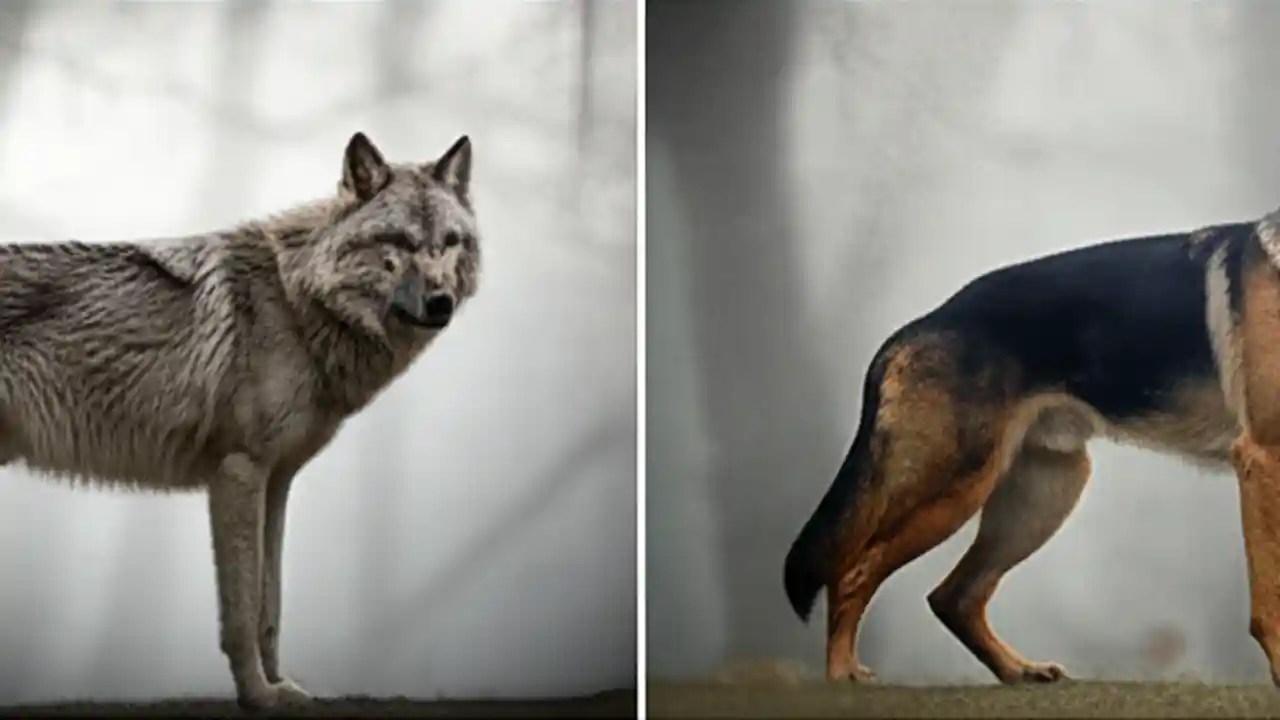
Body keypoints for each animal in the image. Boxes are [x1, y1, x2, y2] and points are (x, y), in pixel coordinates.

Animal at [0, 131, 480, 708]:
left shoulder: (277, 481)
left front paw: (279, 686)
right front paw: (257, 696)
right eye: (401, 241)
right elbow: (242, 611)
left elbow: (270, 602)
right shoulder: (238, 472)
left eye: (450, 241)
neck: (297, 304)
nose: (441, 302)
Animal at [785, 210, 1280, 686]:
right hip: (955, 490)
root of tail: (918, 325)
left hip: (1042, 497)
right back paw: (843, 672)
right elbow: (1270, 596)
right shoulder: (1262, 459)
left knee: (952, 596)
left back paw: (1017, 670)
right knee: (853, 572)